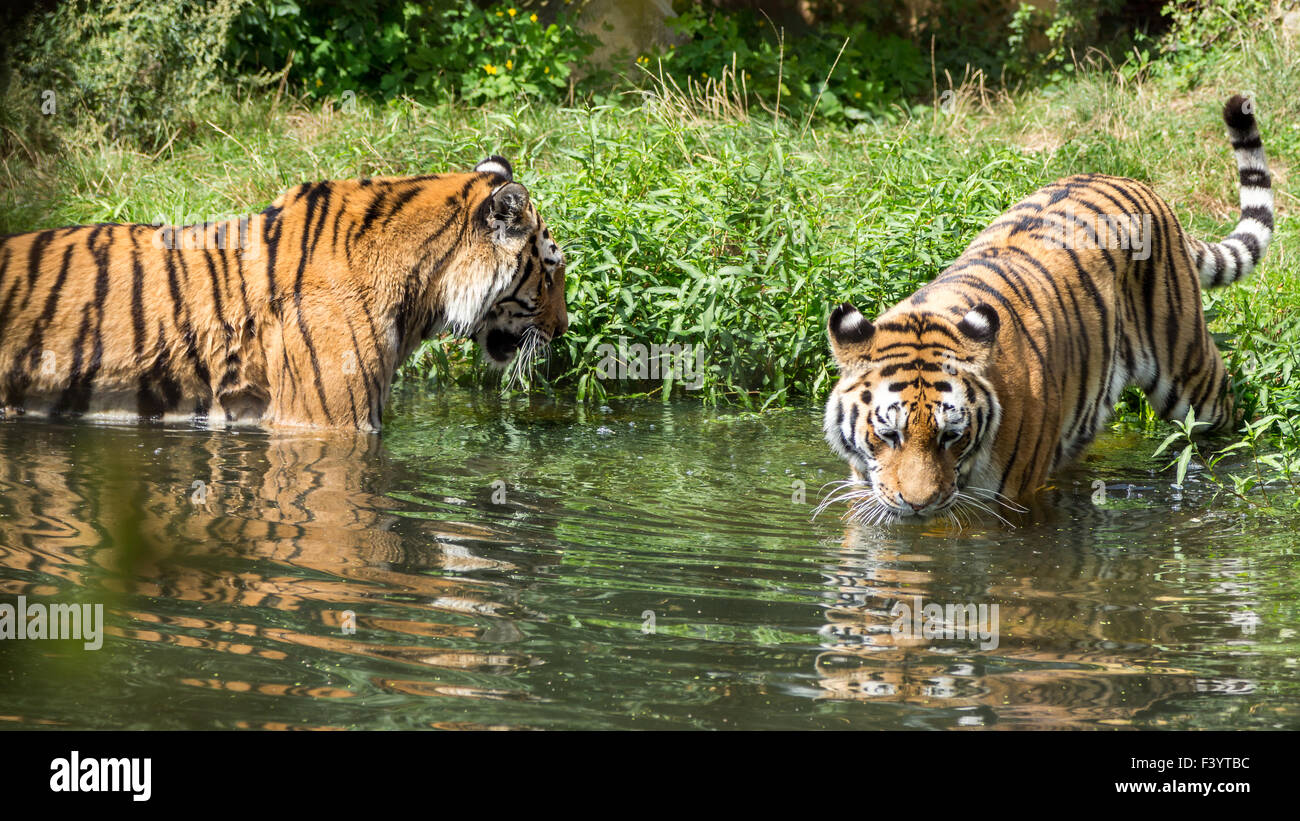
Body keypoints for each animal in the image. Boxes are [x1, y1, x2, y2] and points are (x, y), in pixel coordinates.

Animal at [822, 95, 1274, 524]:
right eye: (888, 435)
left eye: (951, 436)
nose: (919, 505)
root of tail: (1138, 184)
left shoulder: (1009, 502)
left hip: (1191, 375)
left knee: (1232, 417)